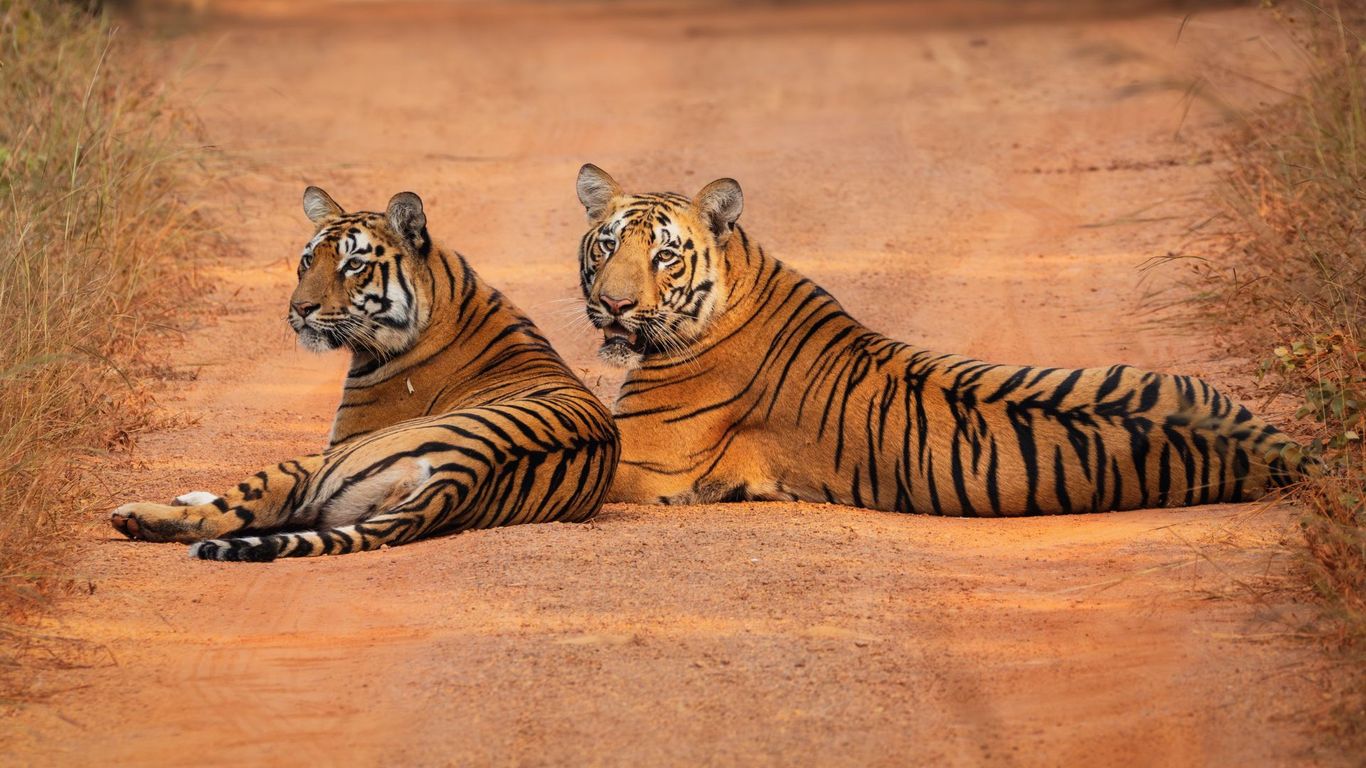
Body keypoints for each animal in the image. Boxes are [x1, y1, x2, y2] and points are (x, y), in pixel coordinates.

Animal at [110, 186, 619, 561]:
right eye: (308, 260)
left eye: (353, 264)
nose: (300, 308)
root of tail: (464, 471)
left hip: (309, 464)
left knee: (224, 517)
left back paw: (133, 515)